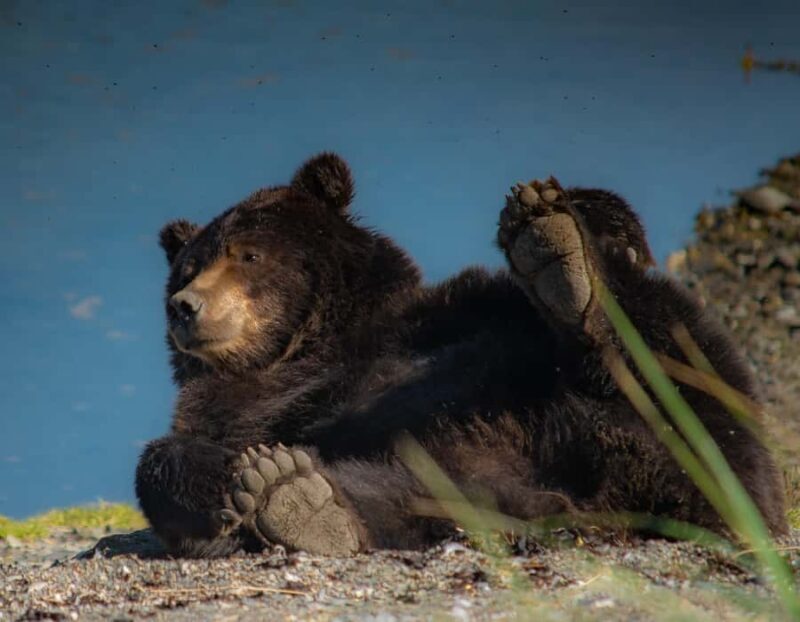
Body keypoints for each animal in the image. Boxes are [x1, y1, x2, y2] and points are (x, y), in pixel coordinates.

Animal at [135, 153, 787, 558]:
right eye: (187, 268)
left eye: (248, 254)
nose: (185, 307)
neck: (306, 349)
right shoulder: (242, 410)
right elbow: (168, 459)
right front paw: (245, 474)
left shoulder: (455, 314)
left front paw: (556, 223)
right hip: (457, 482)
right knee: (398, 498)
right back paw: (295, 497)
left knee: (680, 369)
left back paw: (564, 267)